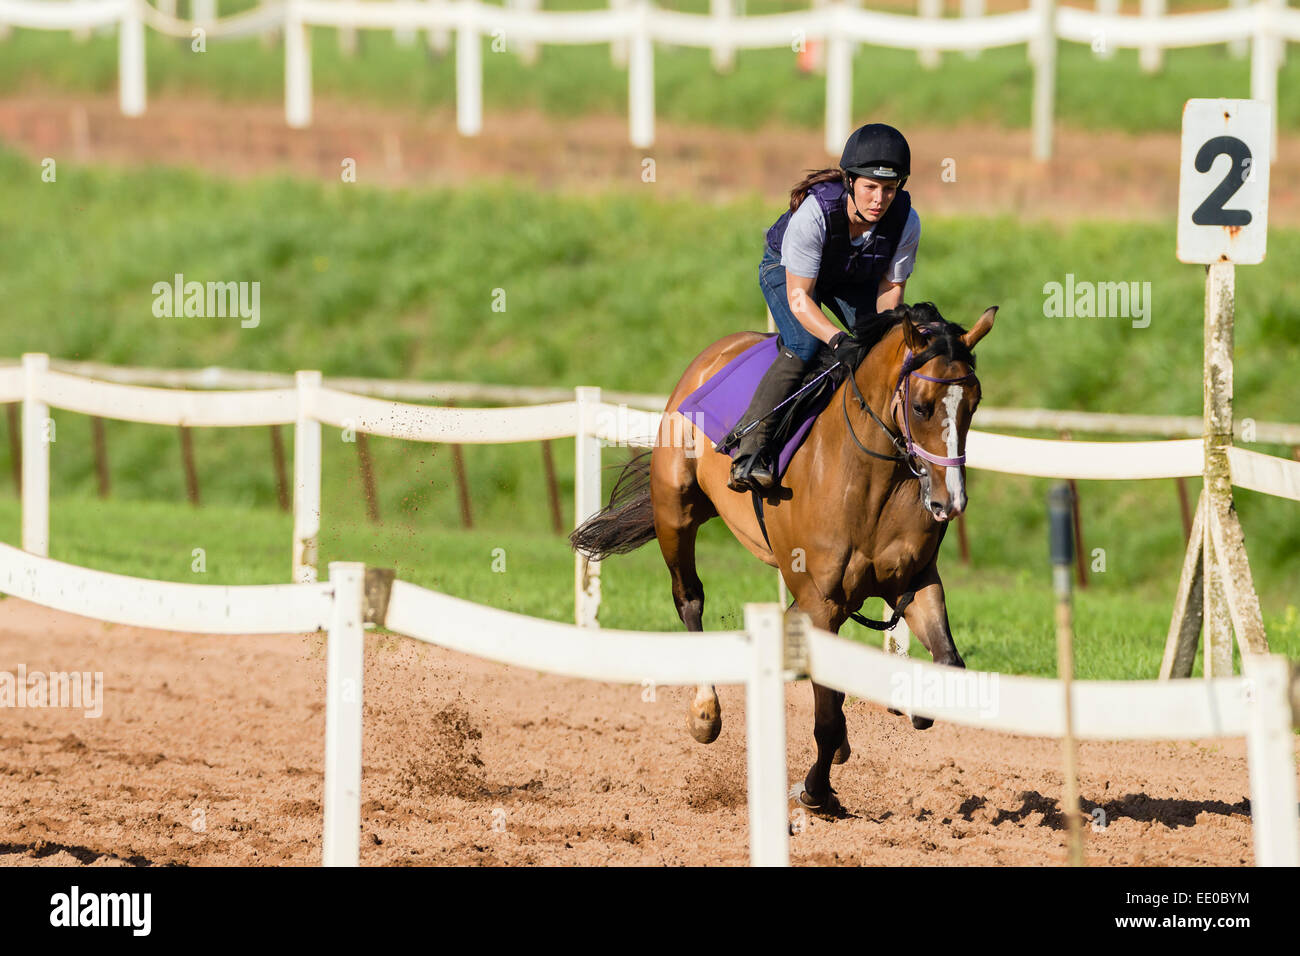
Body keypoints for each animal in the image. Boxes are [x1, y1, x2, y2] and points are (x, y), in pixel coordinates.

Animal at [570, 302, 997, 812]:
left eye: (972, 404)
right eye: (921, 406)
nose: (950, 502)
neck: (872, 480)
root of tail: (715, 352)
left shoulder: (912, 581)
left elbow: (948, 664)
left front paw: (909, 705)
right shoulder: (822, 600)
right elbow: (826, 717)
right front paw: (816, 791)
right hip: (676, 512)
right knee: (689, 598)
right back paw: (705, 712)